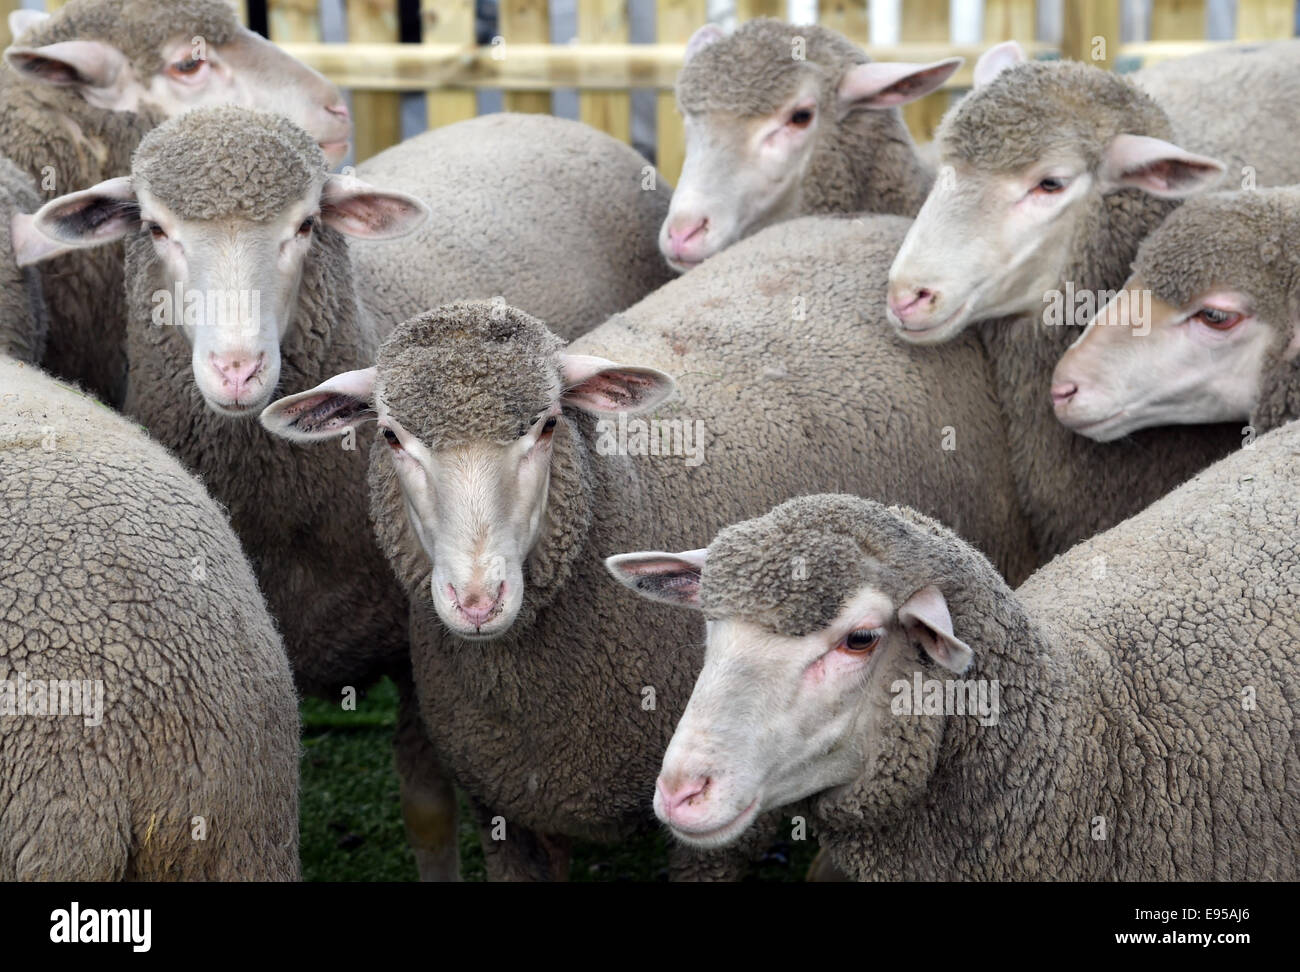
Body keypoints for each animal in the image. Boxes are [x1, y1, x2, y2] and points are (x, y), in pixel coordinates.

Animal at [258, 212, 1037, 879]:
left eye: (547, 424)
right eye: (392, 436)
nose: (478, 600)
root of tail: (859, 221)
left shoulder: (716, 839)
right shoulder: (508, 813)